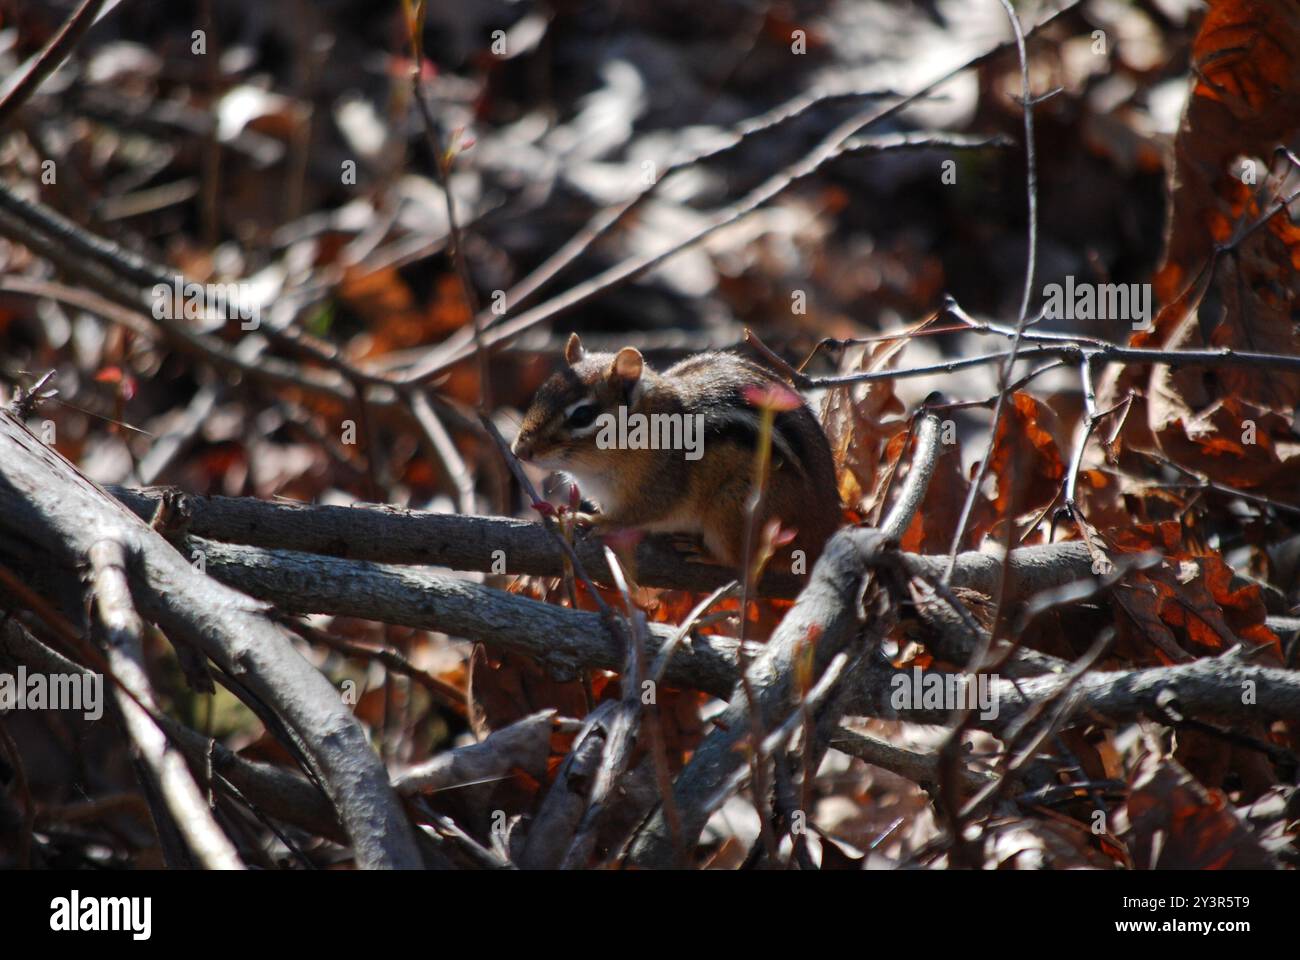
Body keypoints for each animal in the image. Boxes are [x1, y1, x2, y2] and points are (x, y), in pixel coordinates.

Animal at [511, 333, 842, 572]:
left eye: (582, 416)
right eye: (540, 393)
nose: (519, 451)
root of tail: (826, 523)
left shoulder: (660, 488)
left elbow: (634, 515)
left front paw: (596, 521)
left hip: (735, 505)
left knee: (741, 563)